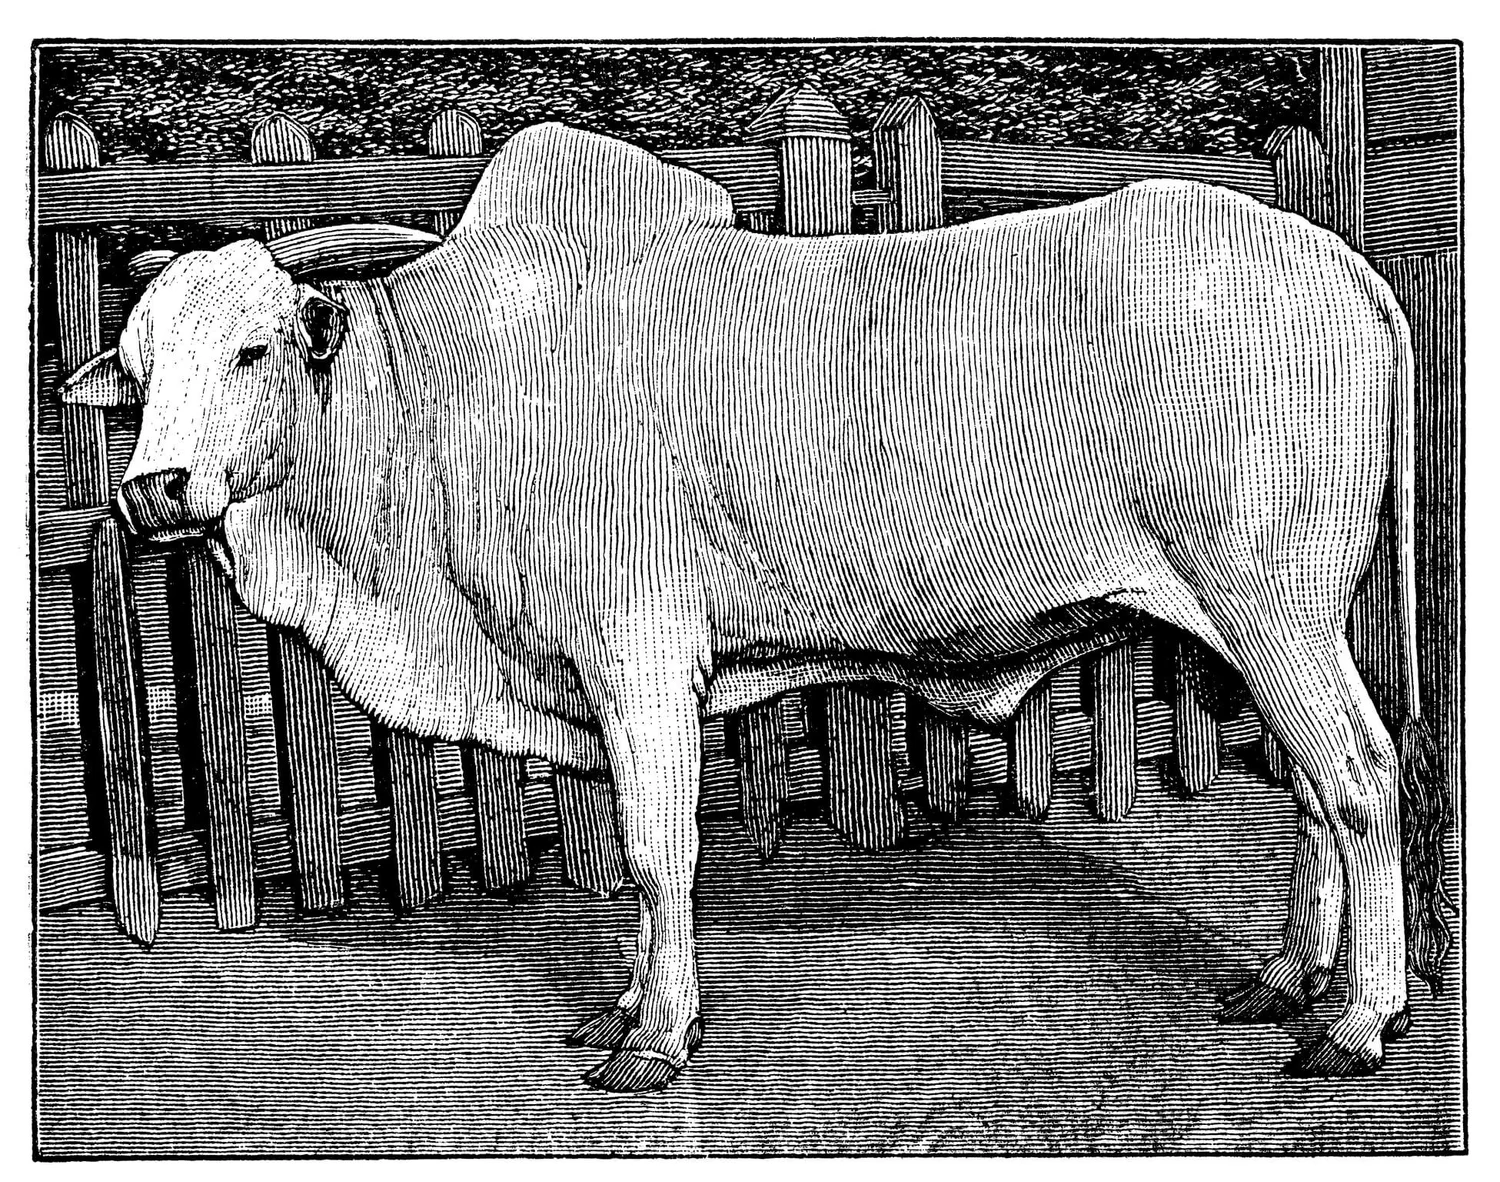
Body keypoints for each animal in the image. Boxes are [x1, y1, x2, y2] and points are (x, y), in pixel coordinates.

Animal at [61, 122, 1450, 1093]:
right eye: (136, 366)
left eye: (253, 347)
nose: (152, 489)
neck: (438, 398)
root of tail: (1332, 256)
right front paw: (629, 1005)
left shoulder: (639, 661)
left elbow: (654, 855)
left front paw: (655, 1039)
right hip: (1261, 625)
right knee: (1313, 792)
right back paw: (1286, 978)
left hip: (1273, 609)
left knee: (1360, 781)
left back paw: (1359, 1020)